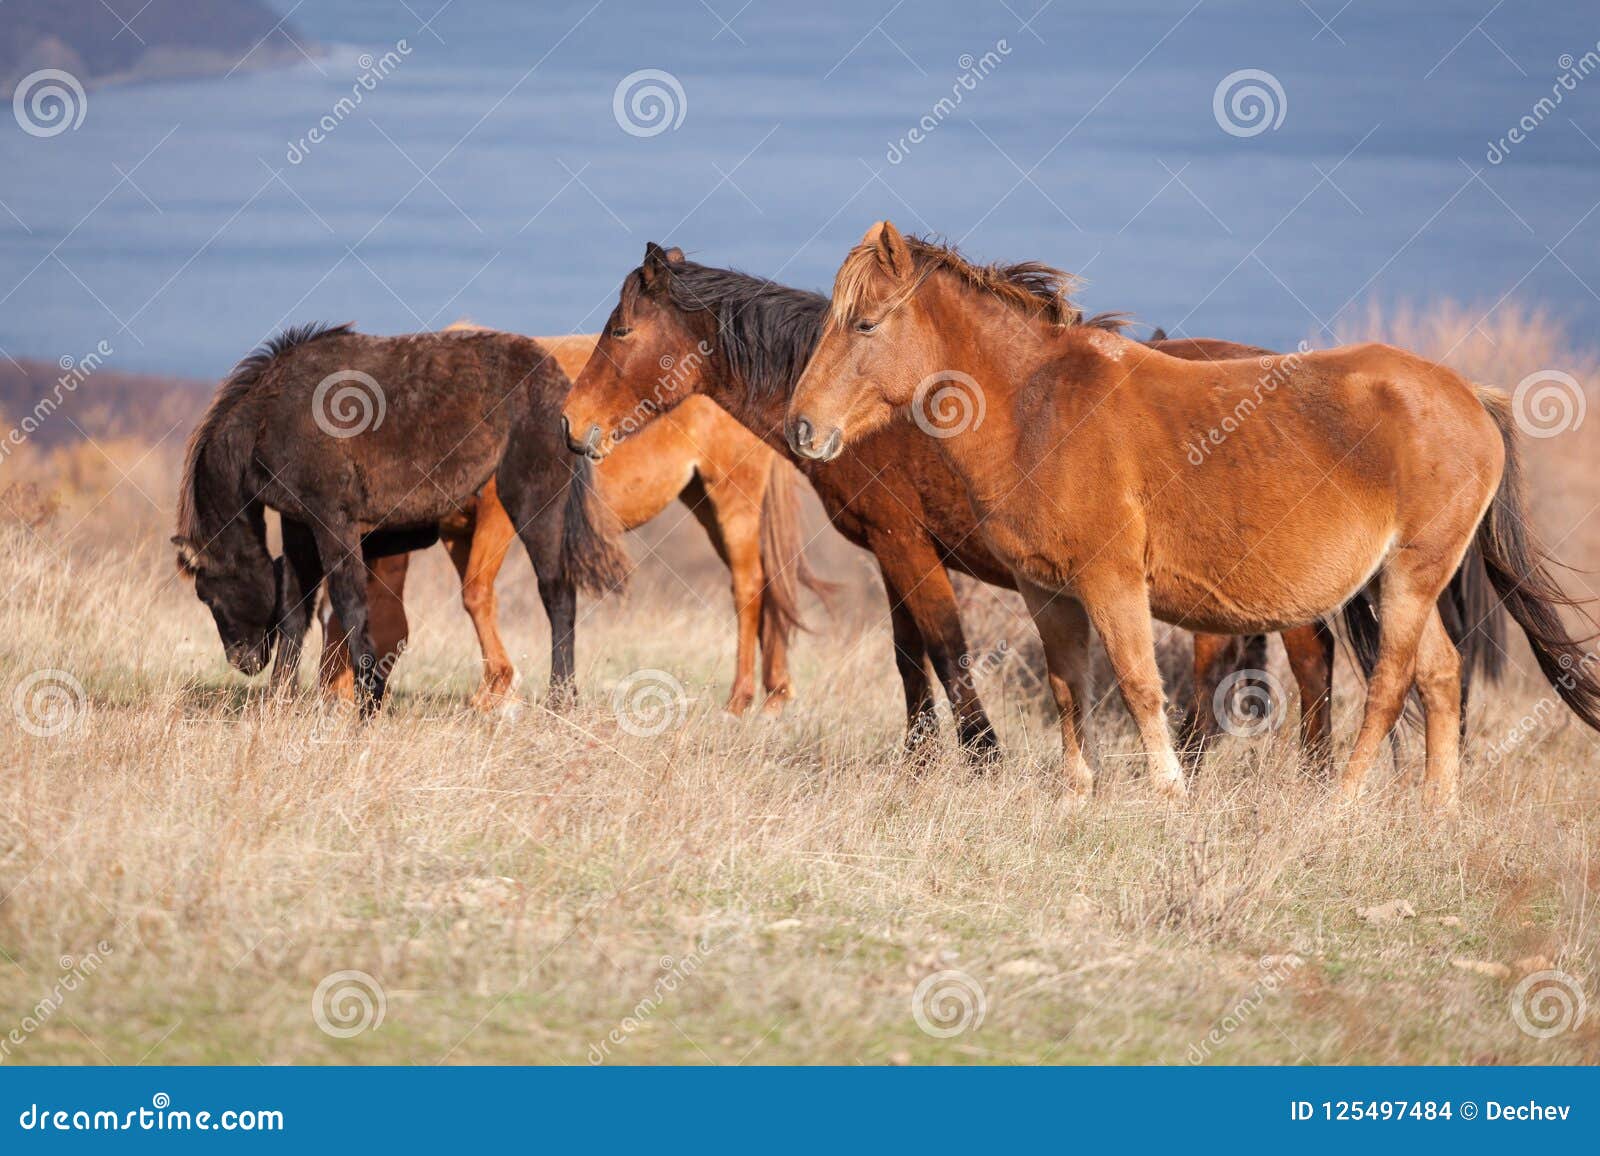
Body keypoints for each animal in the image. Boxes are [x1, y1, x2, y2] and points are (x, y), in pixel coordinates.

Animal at [174, 322, 630, 713]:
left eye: (206, 594)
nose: (244, 661)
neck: (269, 416)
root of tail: (559, 381)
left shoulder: (333, 522)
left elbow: (351, 605)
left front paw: (368, 704)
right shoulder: (299, 525)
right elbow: (294, 610)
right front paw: (279, 702)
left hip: (534, 503)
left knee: (557, 594)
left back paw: (561, 699)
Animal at [316, 332, 828, 715]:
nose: (325, 698)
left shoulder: (498, 517)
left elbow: (476, 595)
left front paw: (495, 692)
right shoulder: (457, 533)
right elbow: (476, 597)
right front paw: (498, 688)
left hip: (731, 497)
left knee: (748, 587)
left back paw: (739, 700)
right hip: (704, 502)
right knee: (771, 583)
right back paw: (775, 695)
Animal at [559, 243, 1503, 772]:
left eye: (618, 329)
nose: (571, 425)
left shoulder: (906, 544)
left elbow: (943, 647)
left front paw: (979, 756)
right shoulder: (893, 552)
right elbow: (909, 656)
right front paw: (921, 758)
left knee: (1305, 665)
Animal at [784, 222, 1600, 810]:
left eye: (864, 325)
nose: (802, 428)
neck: (1037, 408)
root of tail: (1469, 395)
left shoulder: (1113, 584)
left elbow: (1139, 684)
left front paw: (1170, 794)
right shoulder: (1048, 592)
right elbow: (1068, 687)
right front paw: (1078, 798)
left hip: (1409, 577)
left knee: (1391, 682)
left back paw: (1341, 803)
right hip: (1394, 582)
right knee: (1438, 673)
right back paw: (1438, 812)